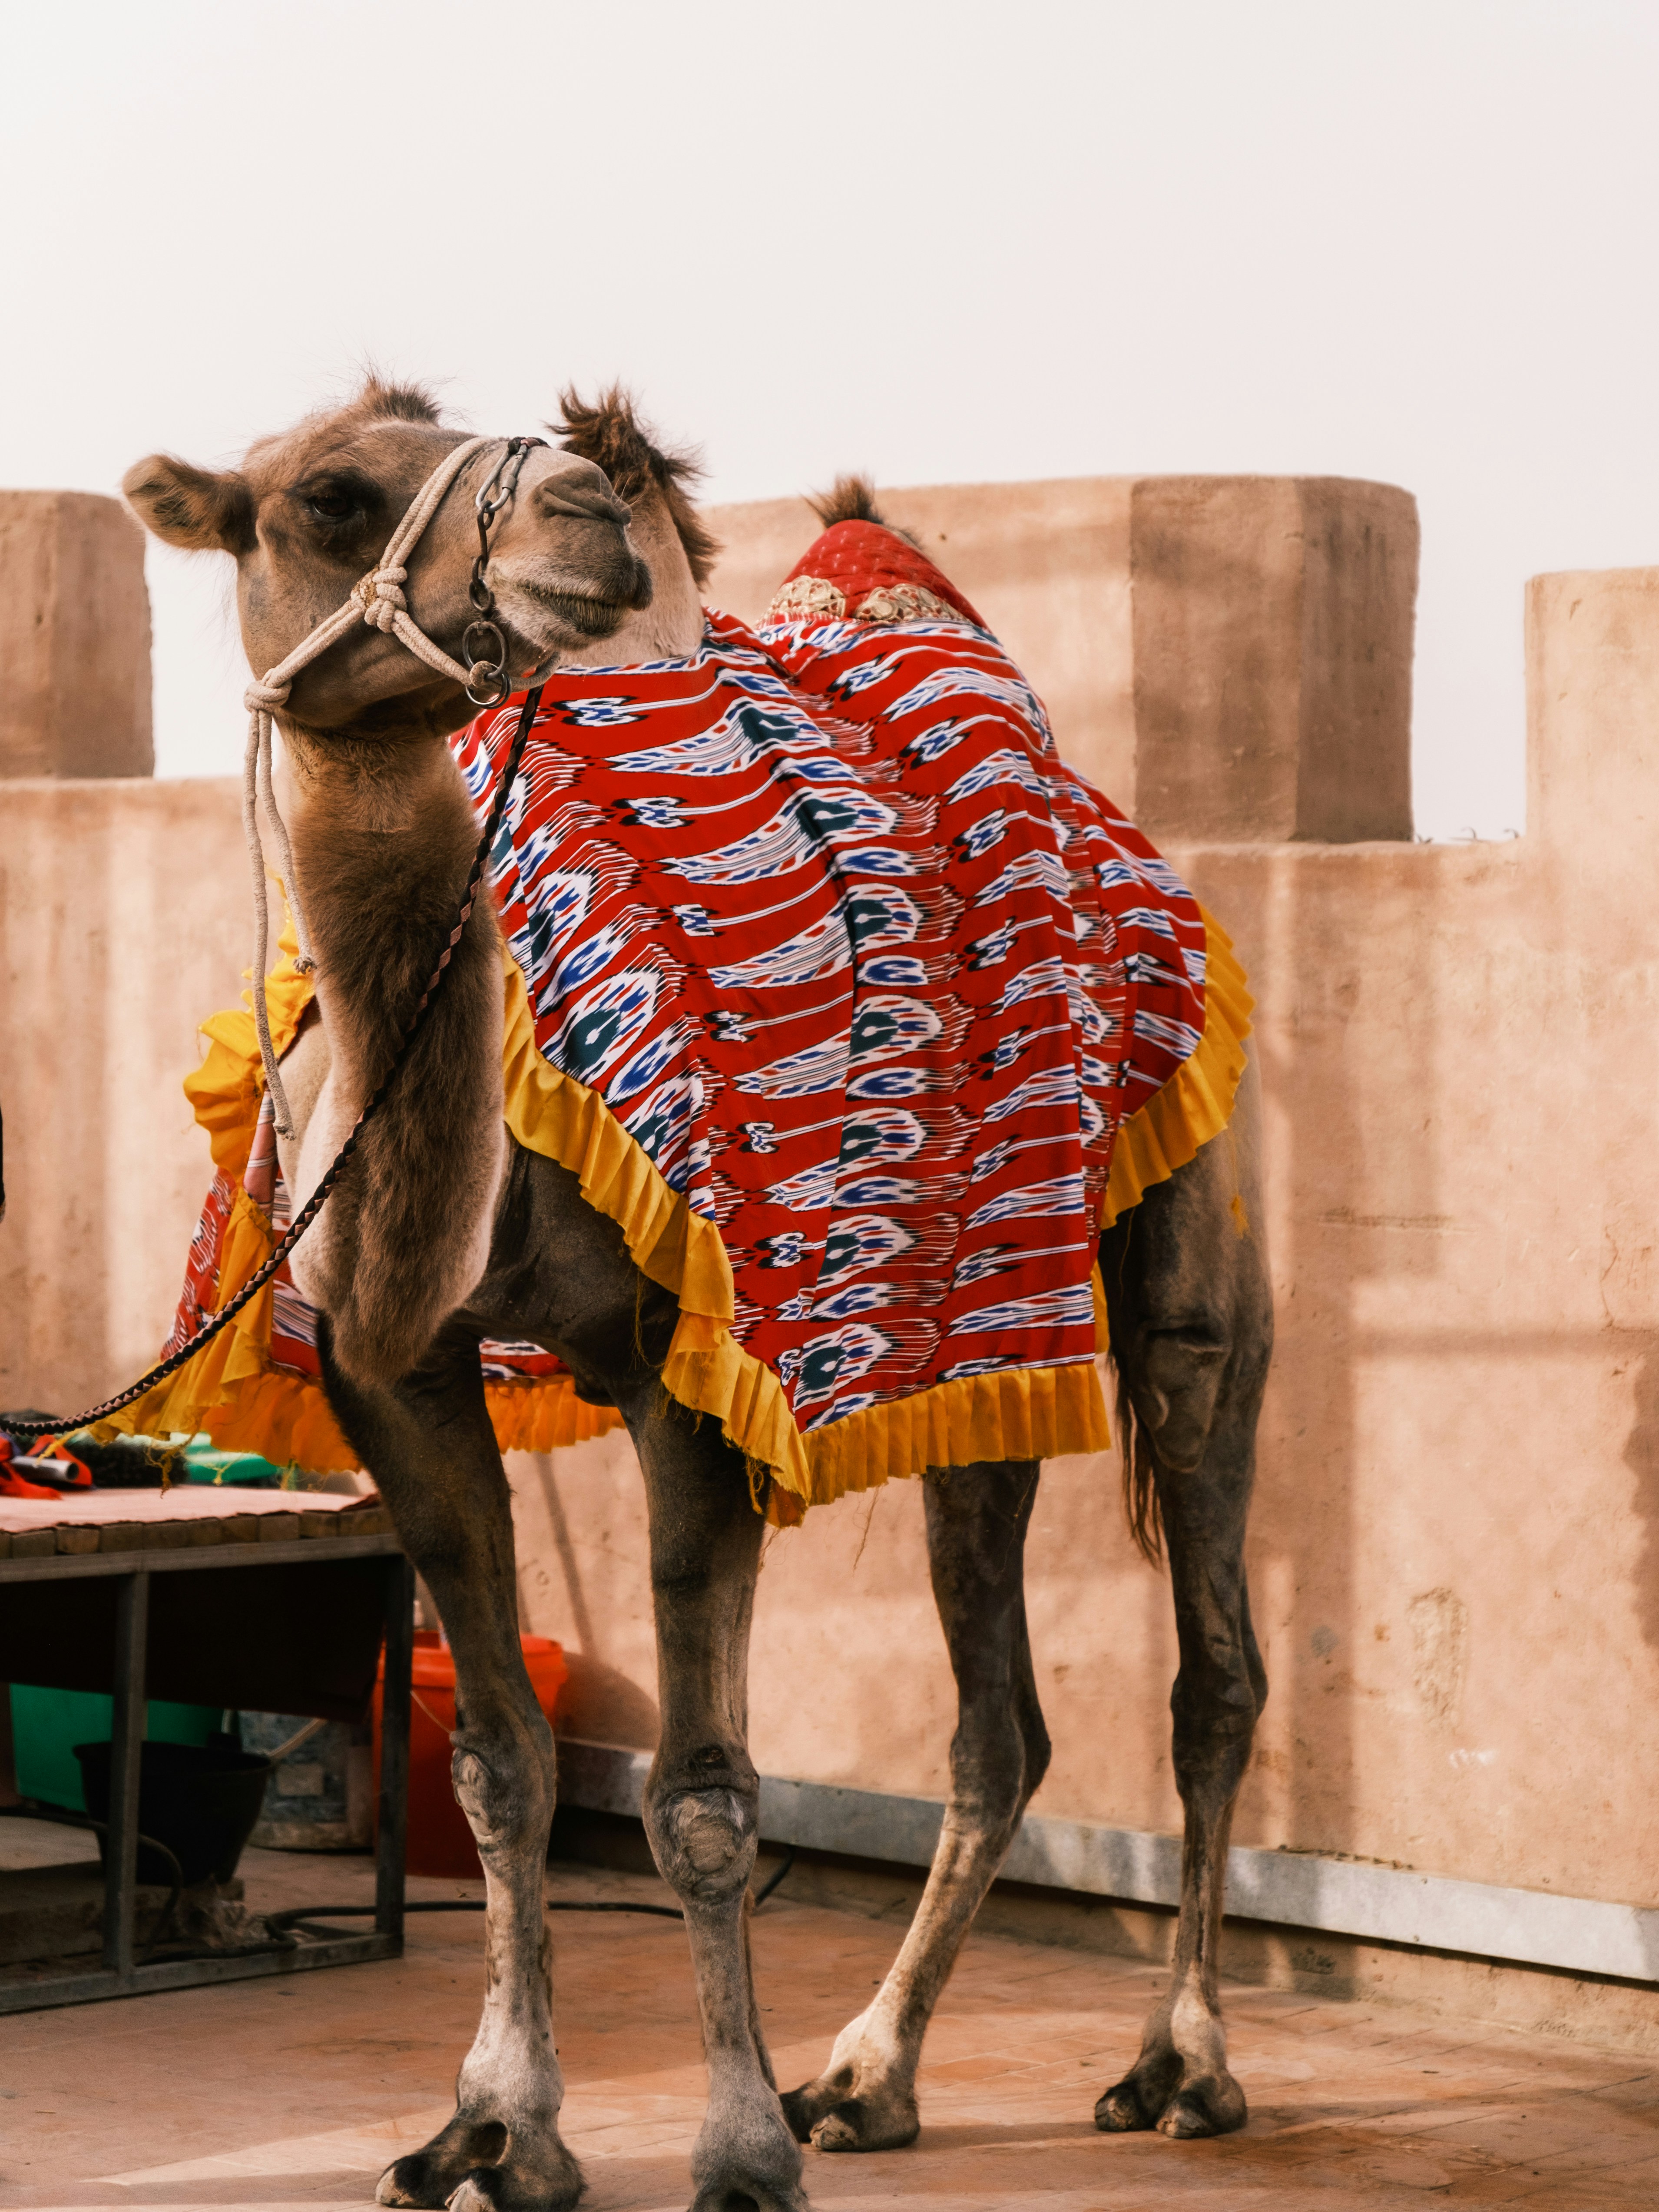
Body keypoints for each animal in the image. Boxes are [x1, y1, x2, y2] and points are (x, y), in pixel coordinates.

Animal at [122, 380, 1272, 2212]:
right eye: (328, 493)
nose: (582, 516)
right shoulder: (400, 1377)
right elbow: (500, 1762)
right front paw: (494, 2128)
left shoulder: (696, 1373)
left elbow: (705, 1796)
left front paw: (733, 2151)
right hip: (986, 1344)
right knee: (1000, 1719)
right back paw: (868, 2075)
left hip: (1193, 1236)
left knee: (1209, 1654)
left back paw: (1183, 2063)